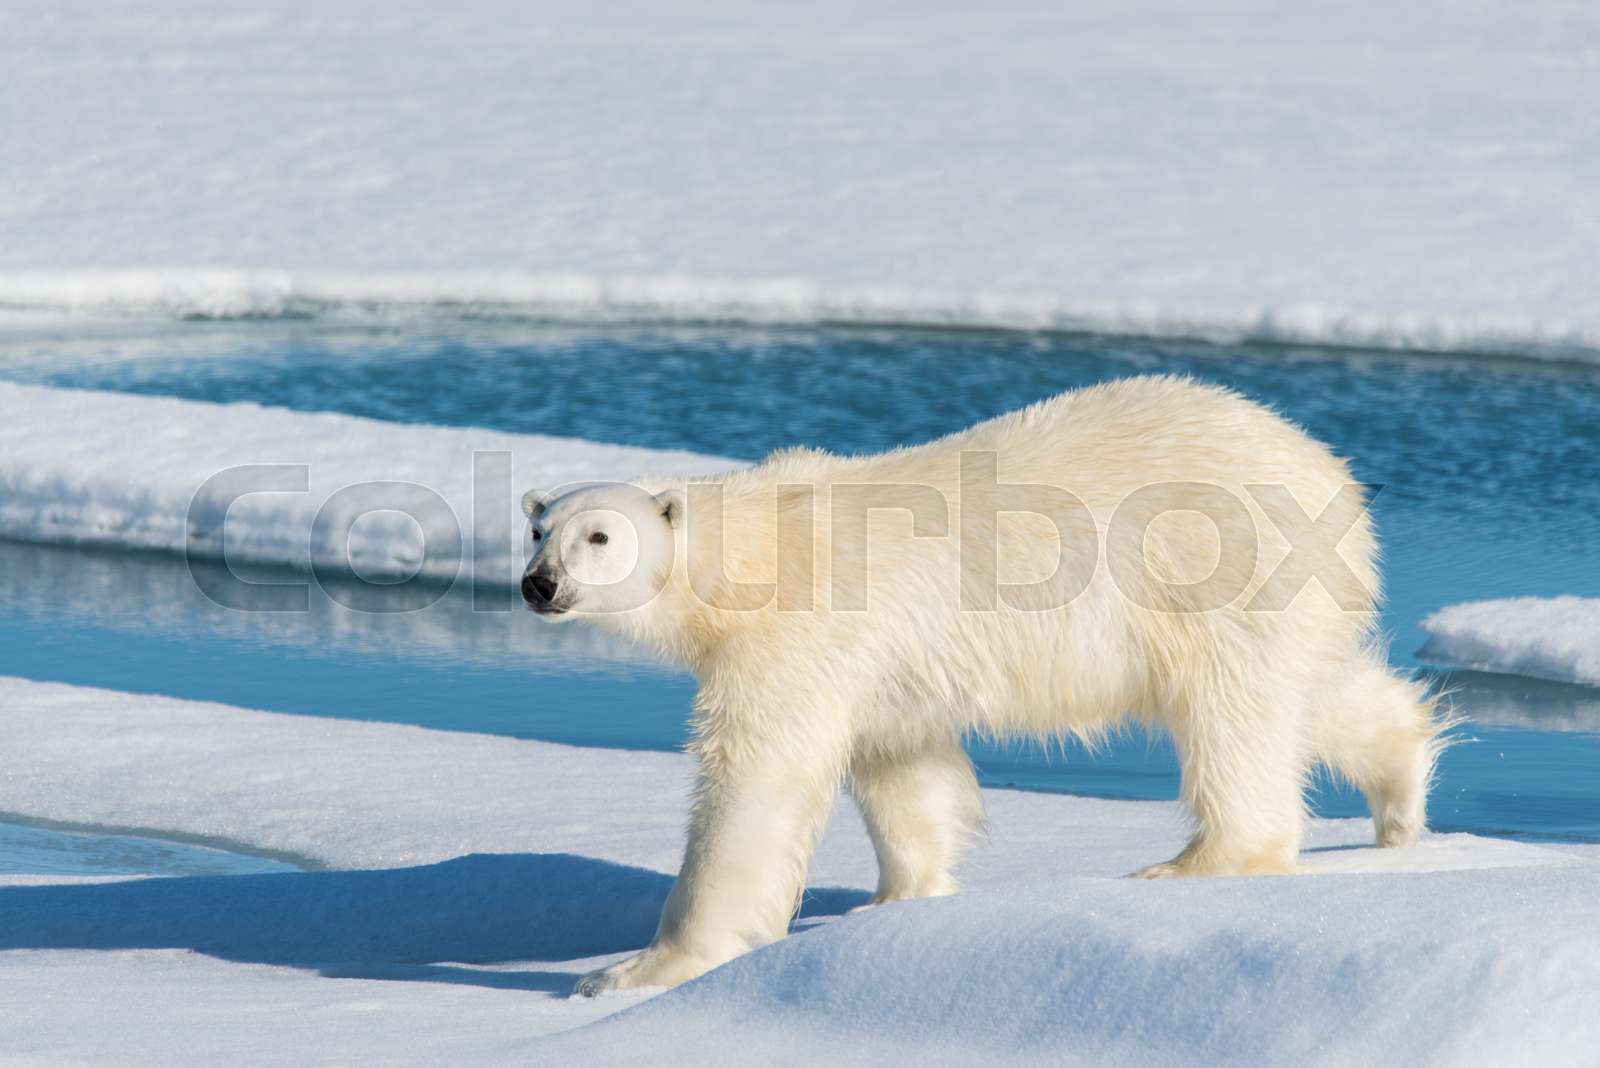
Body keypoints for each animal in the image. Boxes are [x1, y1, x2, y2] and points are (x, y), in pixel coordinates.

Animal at [519, 374, 1444, 996]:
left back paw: (1195, 864)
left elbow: (756, 783)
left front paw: (637, 971)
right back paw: (1400, 800)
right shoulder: (880, 667)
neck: (751, 554)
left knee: (1233, 715)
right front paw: (899, 900)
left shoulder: (798, 636)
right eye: (538, 529)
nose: (538, 585)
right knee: (1313, 692)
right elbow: (903, 767)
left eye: (600, 536)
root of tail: (1332, 476)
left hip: (1216, 569)